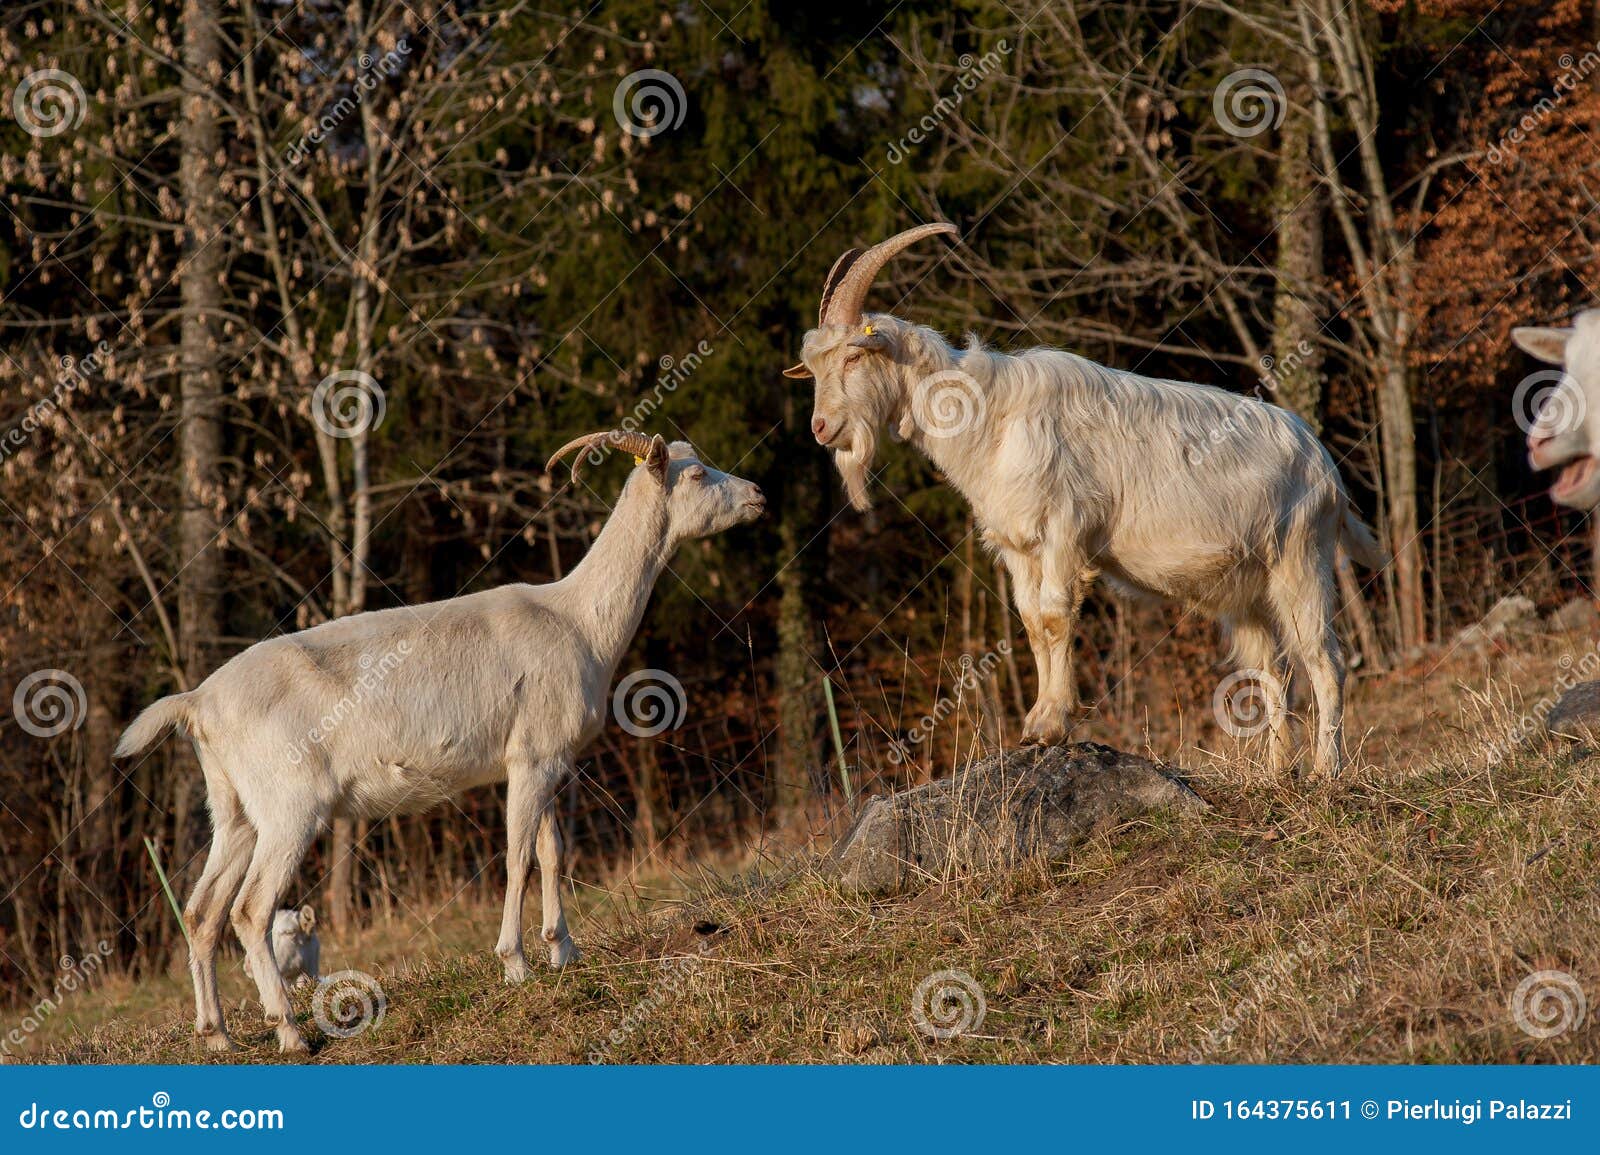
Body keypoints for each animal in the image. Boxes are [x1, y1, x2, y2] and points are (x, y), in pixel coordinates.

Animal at [114, 431, 765, 1052]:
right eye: (696, 473)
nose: (758, 494)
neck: (581, 623)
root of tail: (197, 704)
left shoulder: (549, 758)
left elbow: (553, 853)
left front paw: (564, 951)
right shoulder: (528, 758)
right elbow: (518, 857)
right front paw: (516, 964)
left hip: (233, 809)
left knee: (201, 911)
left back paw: (218, 1034)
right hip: (291, 805)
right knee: (250, 910)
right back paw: (290, 1032)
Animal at [784, 224, 1385, 777]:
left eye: (853, 359)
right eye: (813, 367)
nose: (821, 428)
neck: (991, 416)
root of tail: (1325, 466)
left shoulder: (1063, 529)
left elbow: (1055, 616)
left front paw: (1052, 724)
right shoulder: (1019, 546)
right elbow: (1030, 623)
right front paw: (1035, 725)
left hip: (1300, 559)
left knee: (1325, 661)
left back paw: (1326, 773)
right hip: (1246, 589)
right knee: (1272, 668)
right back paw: (1276, 773)